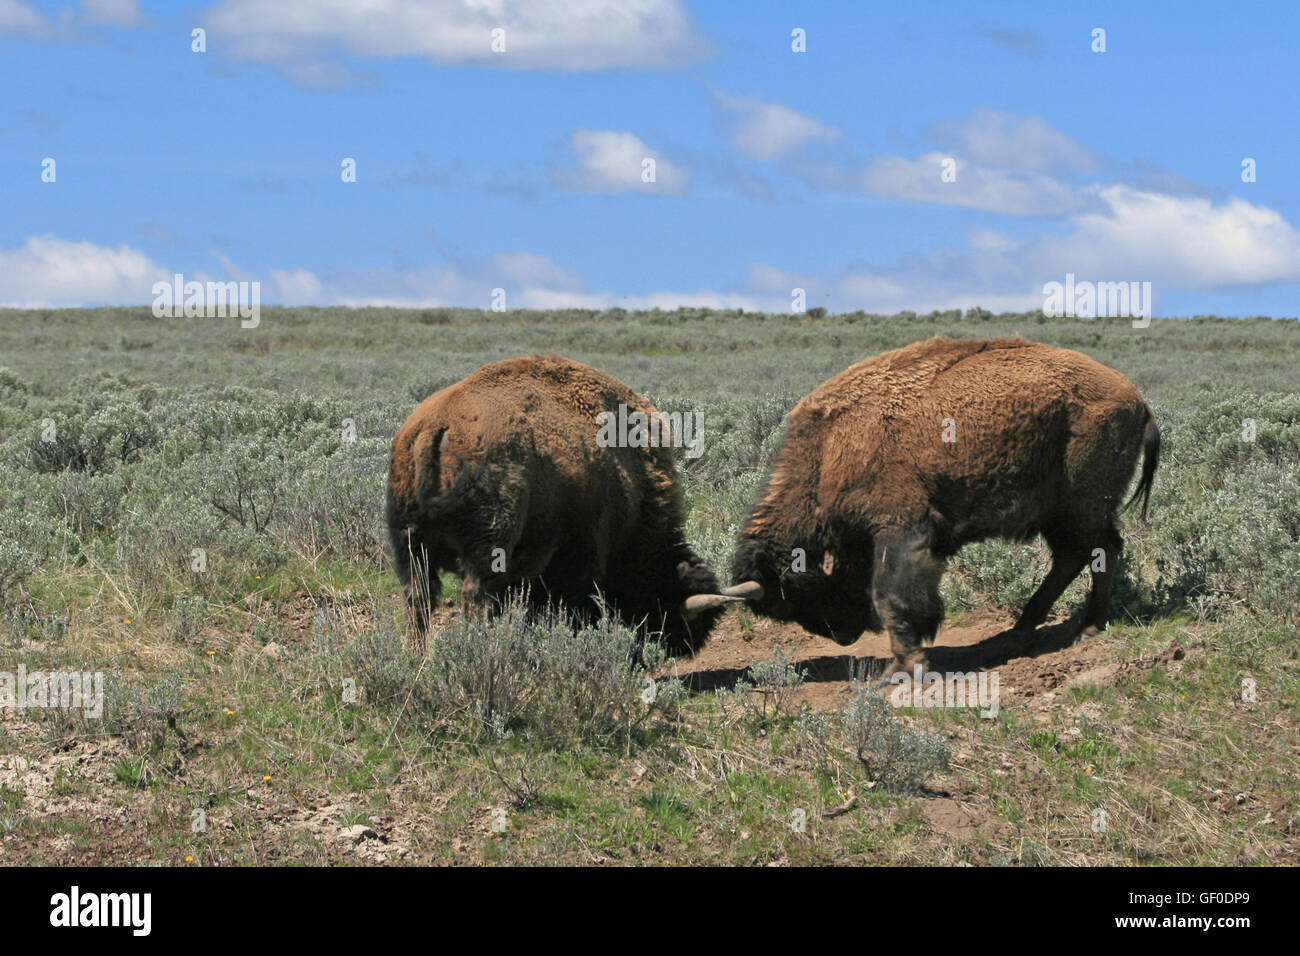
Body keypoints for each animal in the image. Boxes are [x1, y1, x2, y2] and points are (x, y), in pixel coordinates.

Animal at [386, 355, 728, 654]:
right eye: (668, 603)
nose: (682, 649)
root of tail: (435, 425)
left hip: (411, 546)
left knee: (419, 598)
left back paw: (417, 657)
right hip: (486, 549)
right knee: (475, 598)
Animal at [723, 335, 1159, 675]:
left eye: (800, 591)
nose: (844, 636)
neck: (830, 447)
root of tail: (1136, 399)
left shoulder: (902, 529)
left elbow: (890, 595)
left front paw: (903, 668)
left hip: (1083, 506)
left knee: (1101, 549)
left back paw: (1085, 630)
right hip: (1060, 513)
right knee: (1075, 556)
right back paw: (1021, 629)